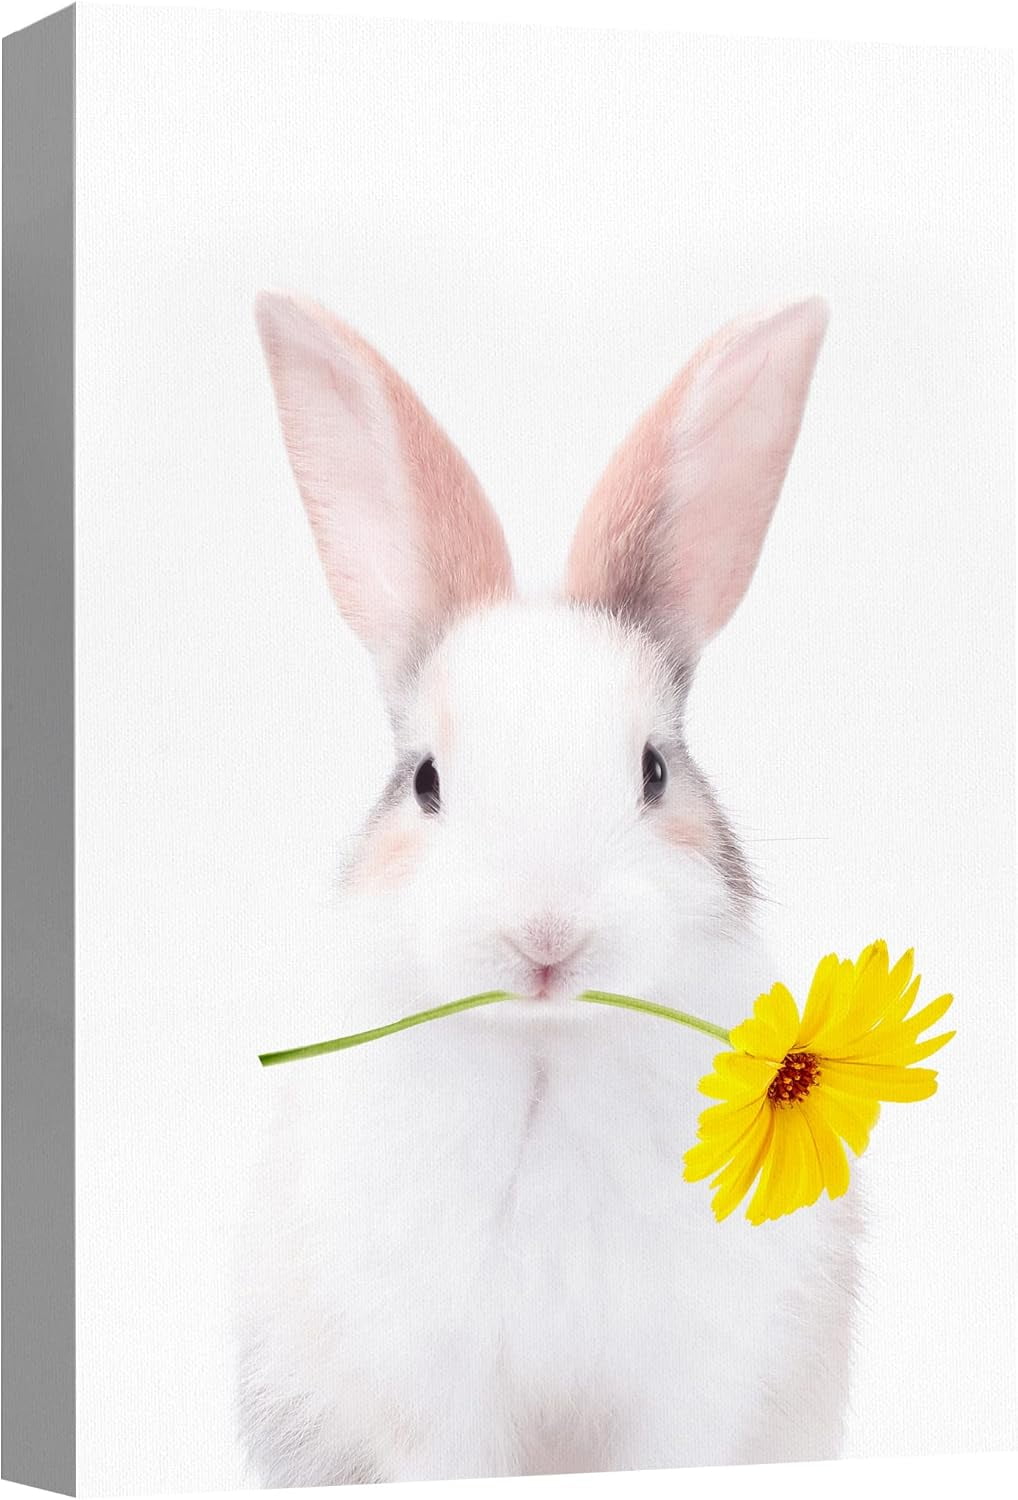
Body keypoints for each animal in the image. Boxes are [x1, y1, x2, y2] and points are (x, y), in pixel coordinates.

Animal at [235, 292, 860, 1486]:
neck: (543, 1053)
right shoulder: (435, 1394)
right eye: (427, 782)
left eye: (654, 770)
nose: (545, 935)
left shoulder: (683, 1383)